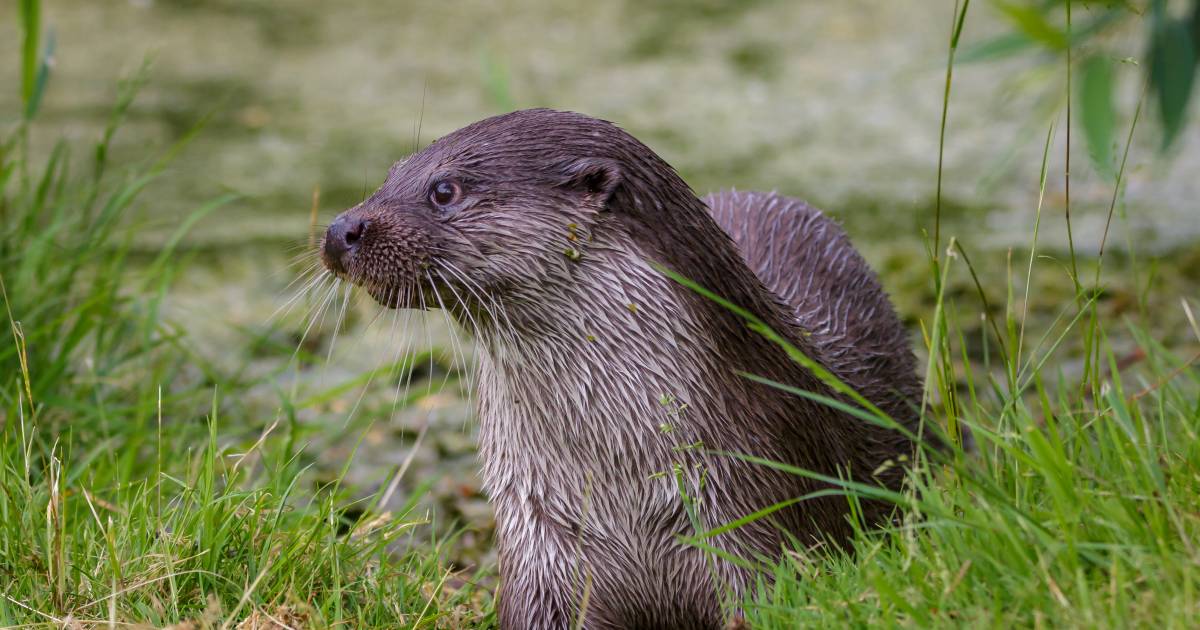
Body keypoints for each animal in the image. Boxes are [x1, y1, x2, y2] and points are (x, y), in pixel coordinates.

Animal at [320, 109, 925, 629]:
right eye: (391, 174)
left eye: (444, 189)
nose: (339, 230)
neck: (622, 490)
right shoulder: (542, 547)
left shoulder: (753, 521)